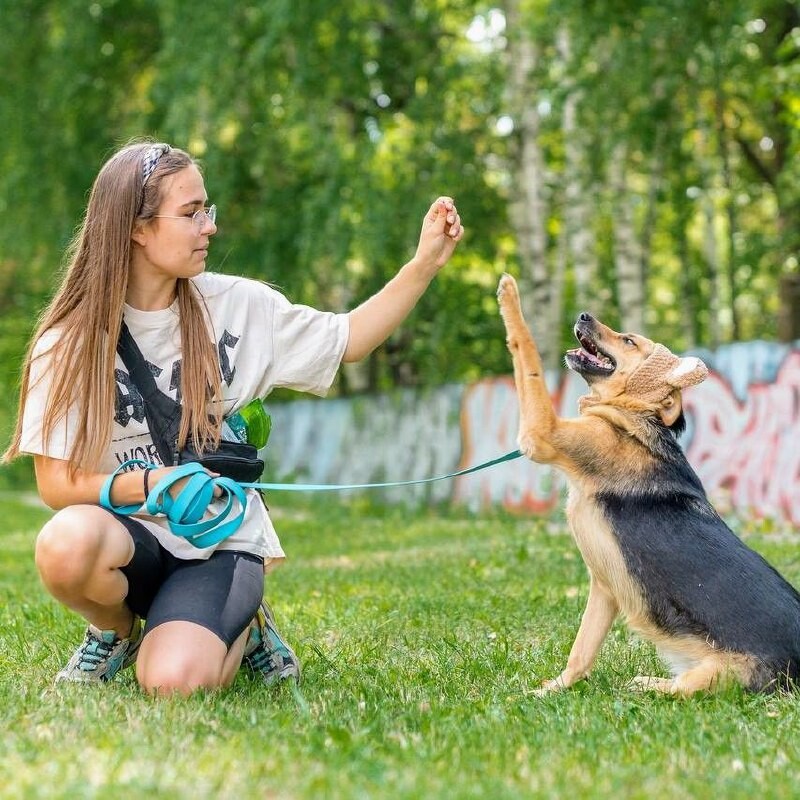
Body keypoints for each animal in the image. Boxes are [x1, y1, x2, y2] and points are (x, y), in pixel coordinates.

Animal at [496, 274, 800, 692]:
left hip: (715, 674)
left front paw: (509, 295)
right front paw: (550, 690)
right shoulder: (604, 588)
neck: (632, 413)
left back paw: (643, 684)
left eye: (629, 340)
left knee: (677, 691)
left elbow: (527, 355)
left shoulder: (542, 433)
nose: (584, 314)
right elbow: (580, 654)